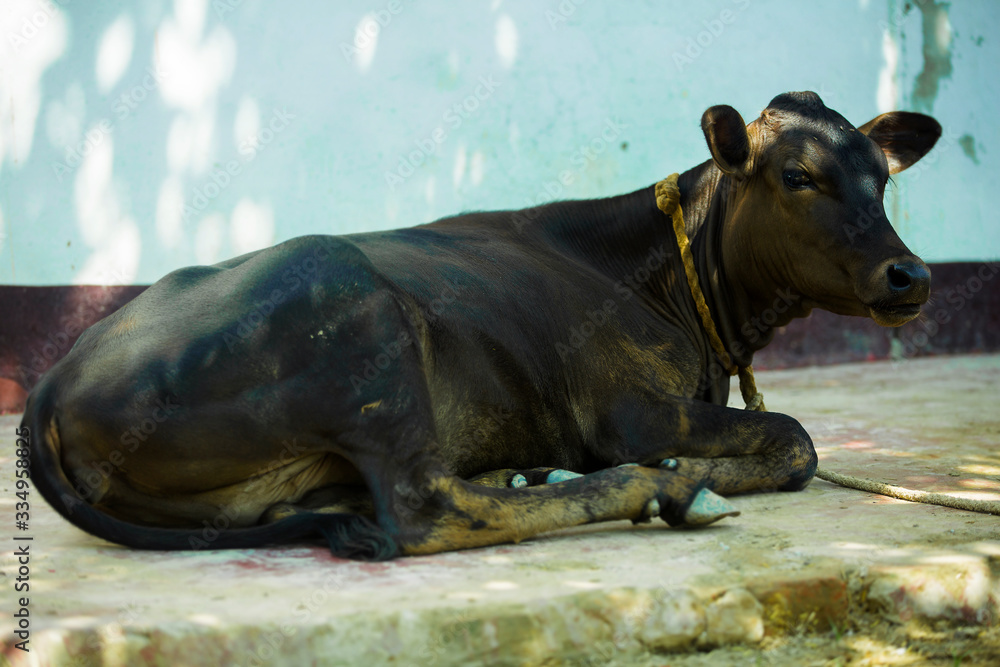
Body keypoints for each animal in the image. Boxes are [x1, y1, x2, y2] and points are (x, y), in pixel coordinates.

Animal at [21, 92, 940, 560]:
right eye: (798, 175)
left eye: (883, 176)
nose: (912, 274)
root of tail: (52, 384)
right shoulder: (631, 410)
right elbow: (795, 442)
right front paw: (684, 469)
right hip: (356, 321)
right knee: (425, 509)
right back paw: (651, 487)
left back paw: (535, 473)